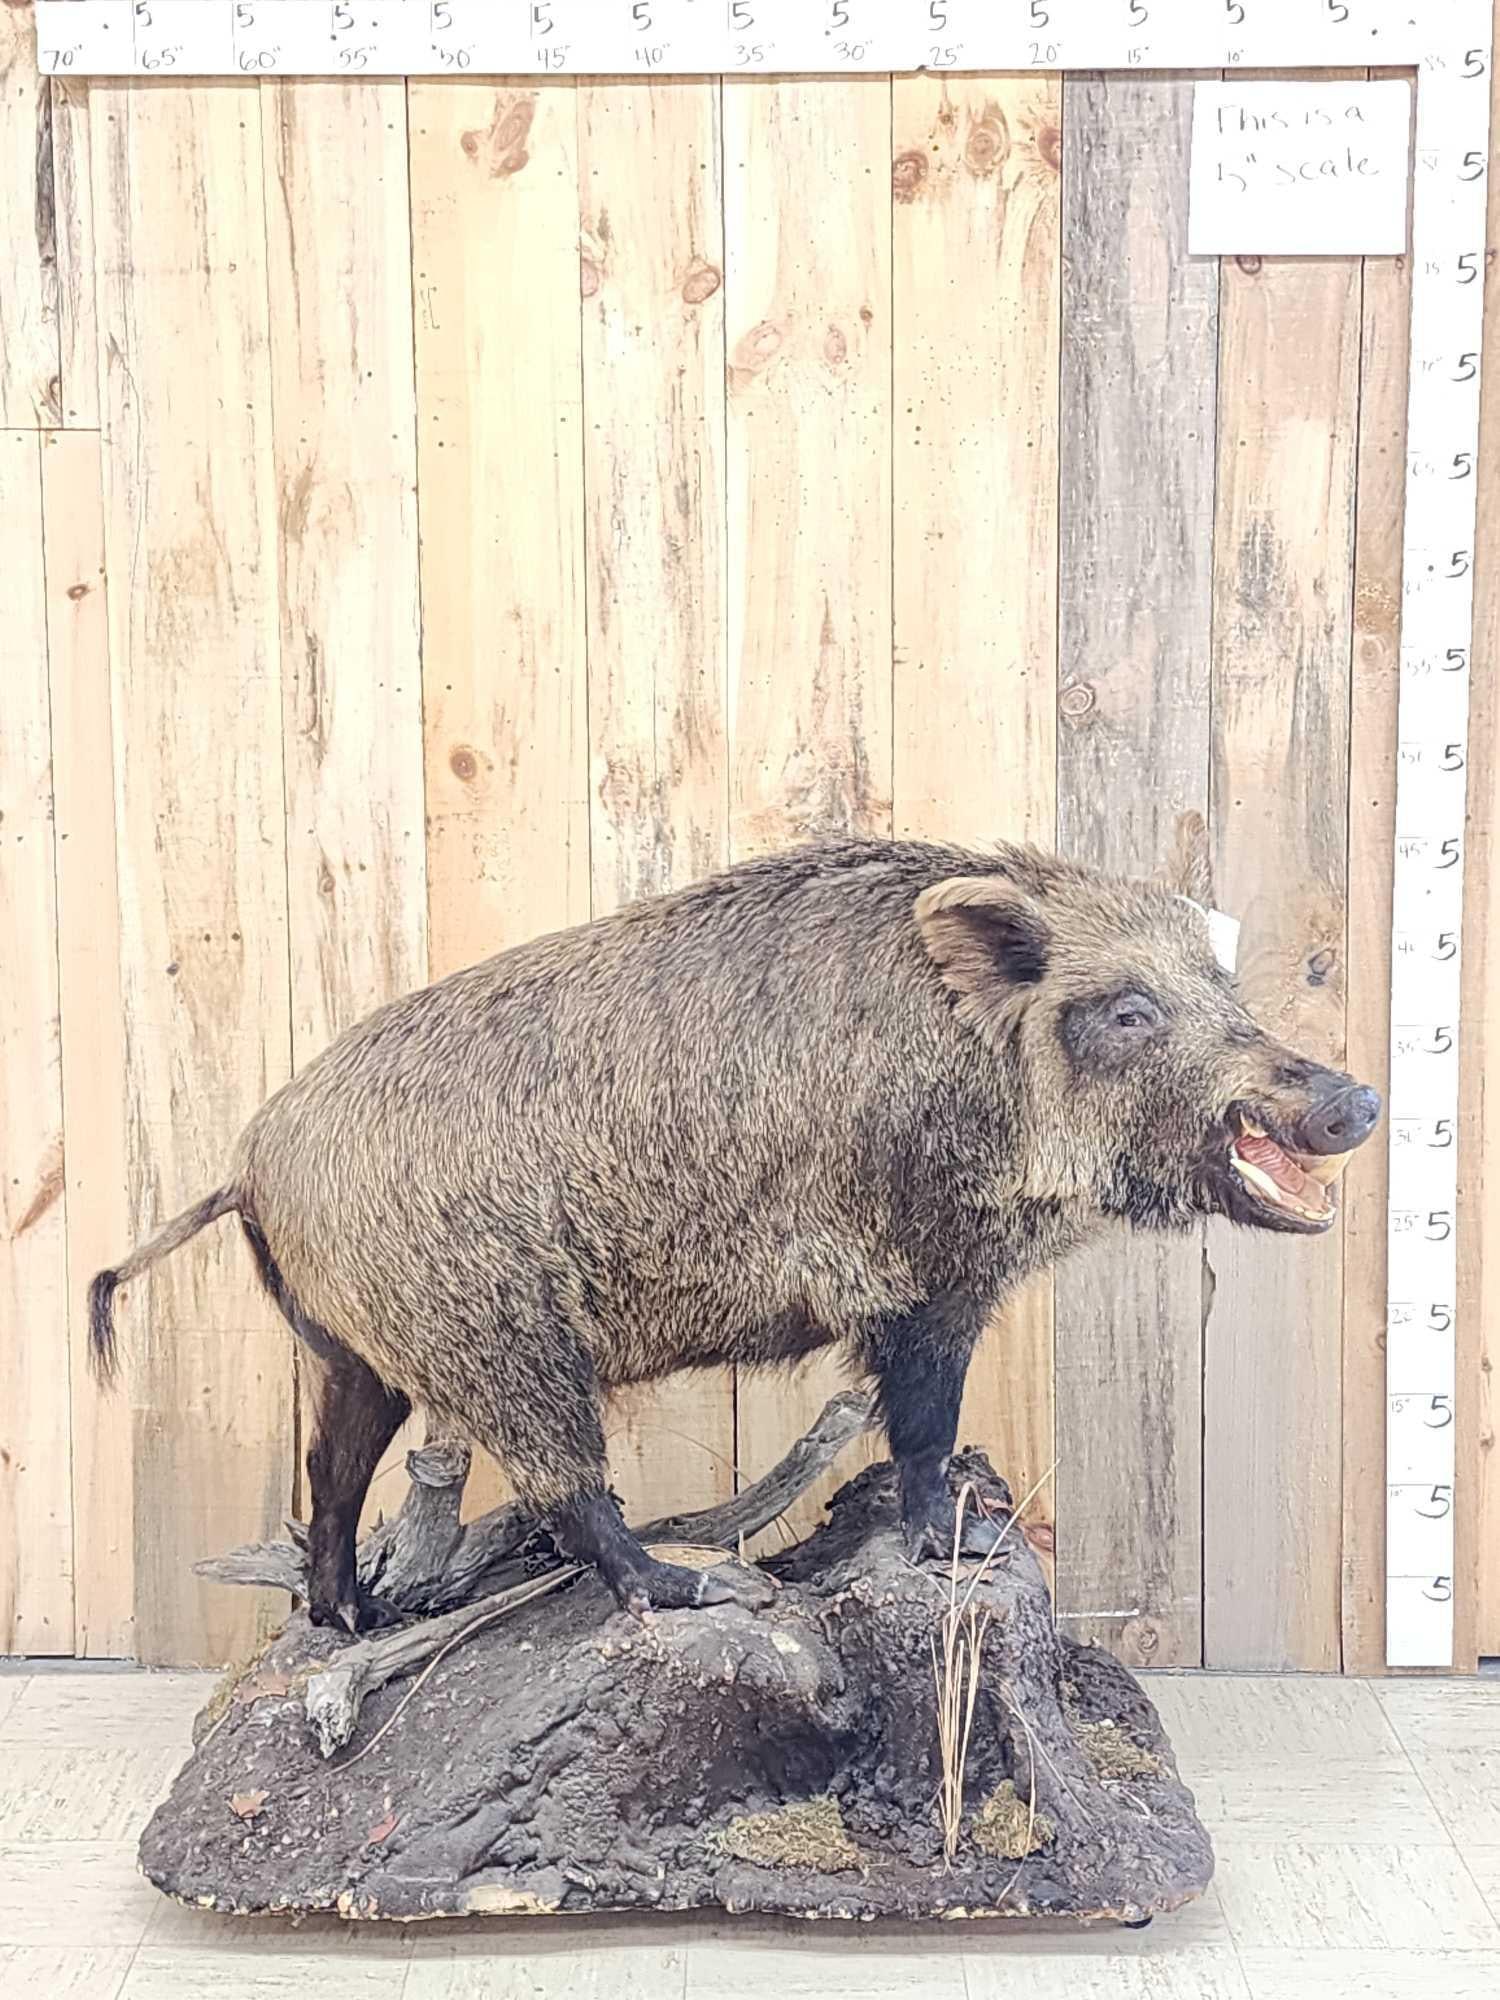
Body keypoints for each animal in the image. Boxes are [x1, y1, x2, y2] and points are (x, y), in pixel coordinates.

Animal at [89, 833, 1381, 1632]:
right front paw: (953, 1544)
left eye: (1226, 990)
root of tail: (251, 1162)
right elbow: (922, 1423)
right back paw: (690, 1588)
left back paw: (351, 1614)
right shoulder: (925, 1276)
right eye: (1128, 1009)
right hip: (496, 1328)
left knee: (331, 1467)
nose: (1354, 1098)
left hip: (355, 1344)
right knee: (561, 1486)